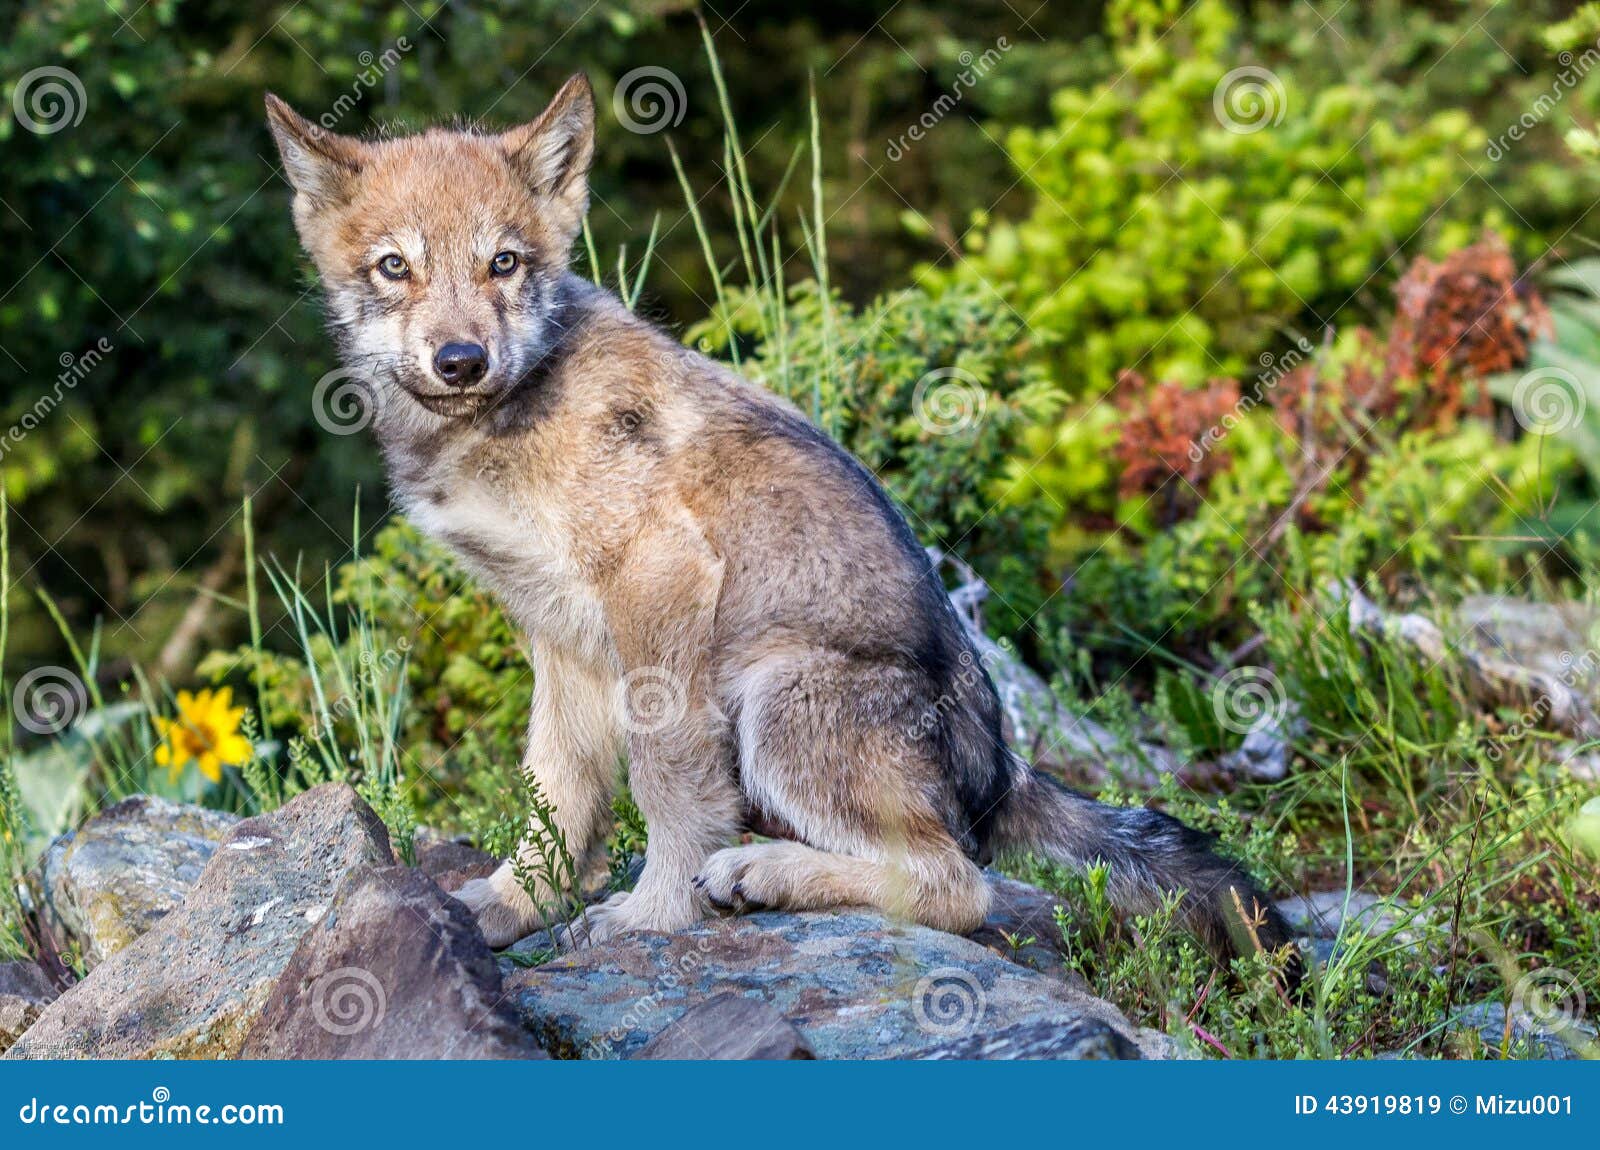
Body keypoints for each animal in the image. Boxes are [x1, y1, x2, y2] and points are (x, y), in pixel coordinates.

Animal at [265, 76, 1300, 981]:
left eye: (504, 263)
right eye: (396, 267)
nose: (460, 359)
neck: (497, 425)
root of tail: (1004, 764)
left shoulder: (659, 583)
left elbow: (668, 787)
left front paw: (653, 916)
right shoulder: (557, 640)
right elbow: (554, 799)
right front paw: (511, 905)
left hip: (777, 704)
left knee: (959, 885)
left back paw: (756, 875)